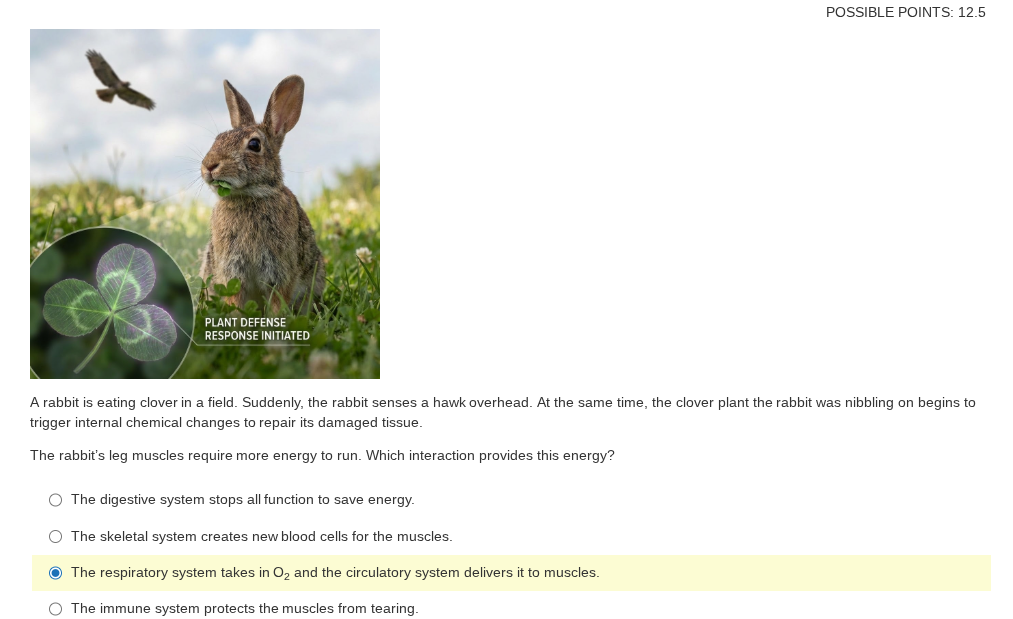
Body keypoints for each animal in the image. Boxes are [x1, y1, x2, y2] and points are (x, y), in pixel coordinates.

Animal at [198, 75, 325, 313]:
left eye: (255, 144)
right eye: (218, 138)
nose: (209, 165)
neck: (249, 197)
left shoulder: (278, 272)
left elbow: (277, 303)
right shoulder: (232, 271)